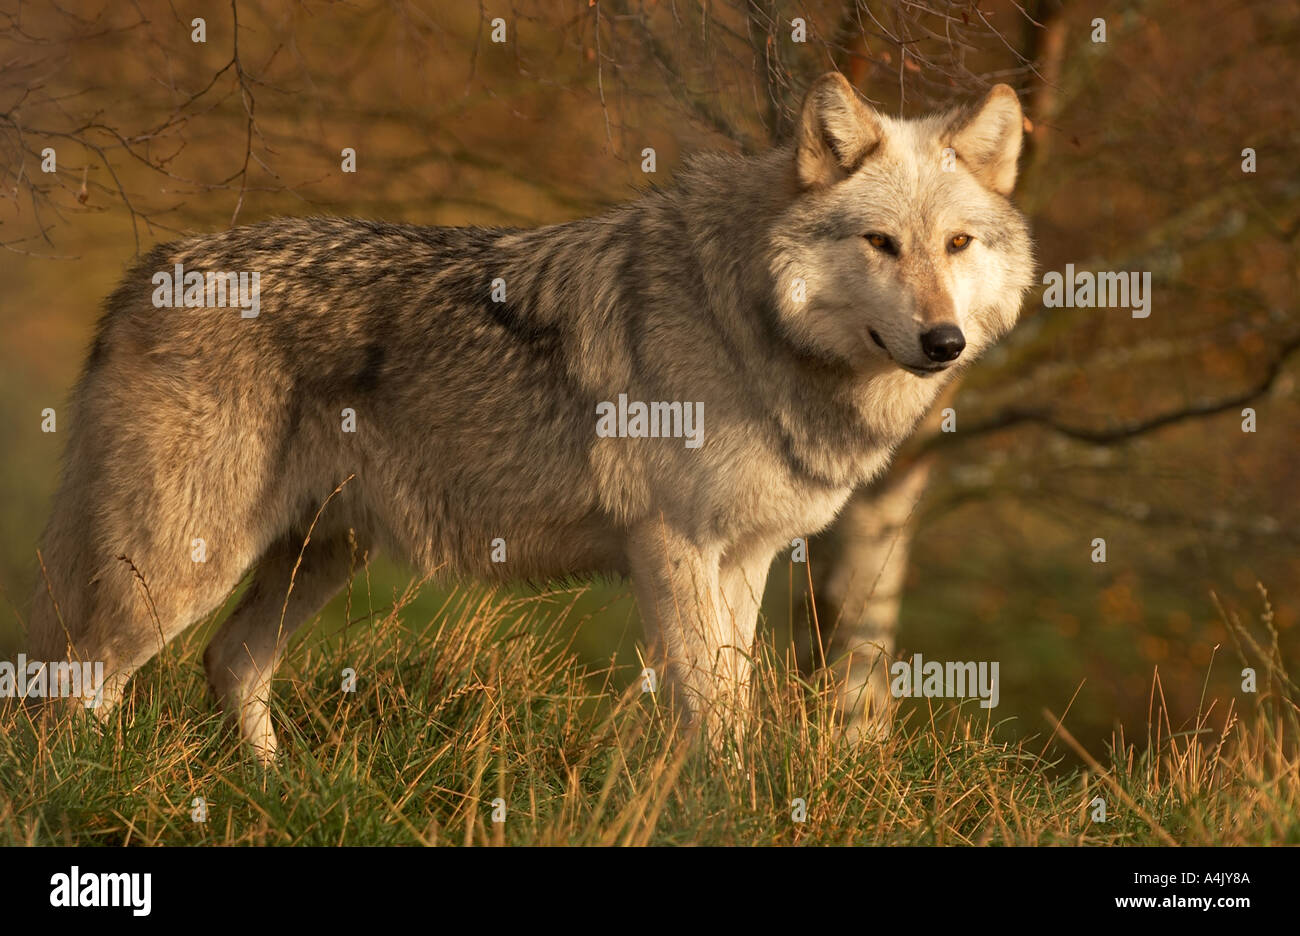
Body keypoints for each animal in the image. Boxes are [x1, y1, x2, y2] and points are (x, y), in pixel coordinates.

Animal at [28, 73, 1034, 761]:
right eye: (881, 242)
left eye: (956, 244)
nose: (943, 342)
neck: (743, 314)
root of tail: (145, 272)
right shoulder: (671, 545)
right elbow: (711, 715)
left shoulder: (744, 557)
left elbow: (733, 706)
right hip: (179, 573)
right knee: (70, 689)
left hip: (320, 556)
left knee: (229, 665)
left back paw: (278, 790)